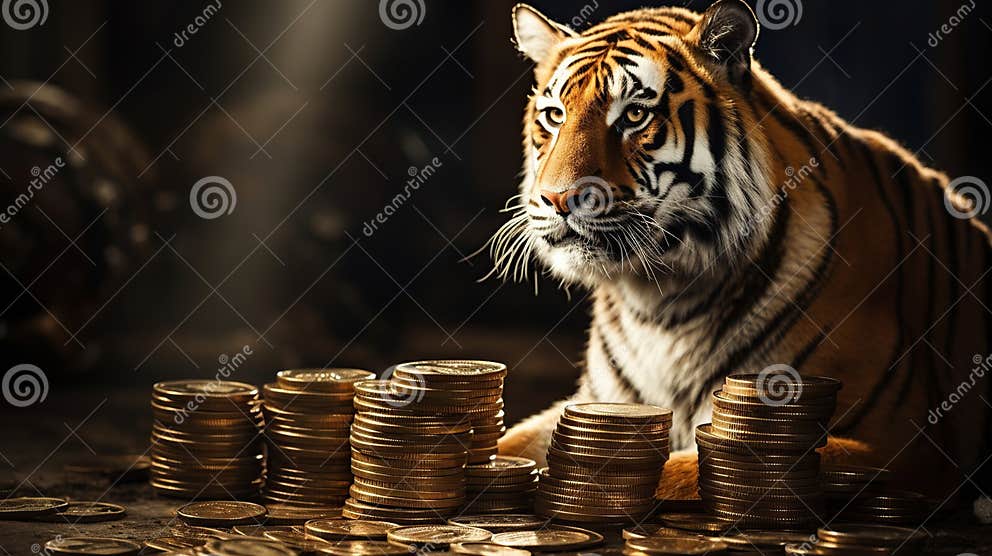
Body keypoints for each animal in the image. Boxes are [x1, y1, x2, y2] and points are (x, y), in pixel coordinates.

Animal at [494, 0, 992, 516]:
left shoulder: (899, 446)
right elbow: (510, 445)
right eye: (554, 115)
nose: (557, 198)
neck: (660, 301)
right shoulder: (596, 403)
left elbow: (675, 473)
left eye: (634, 115)